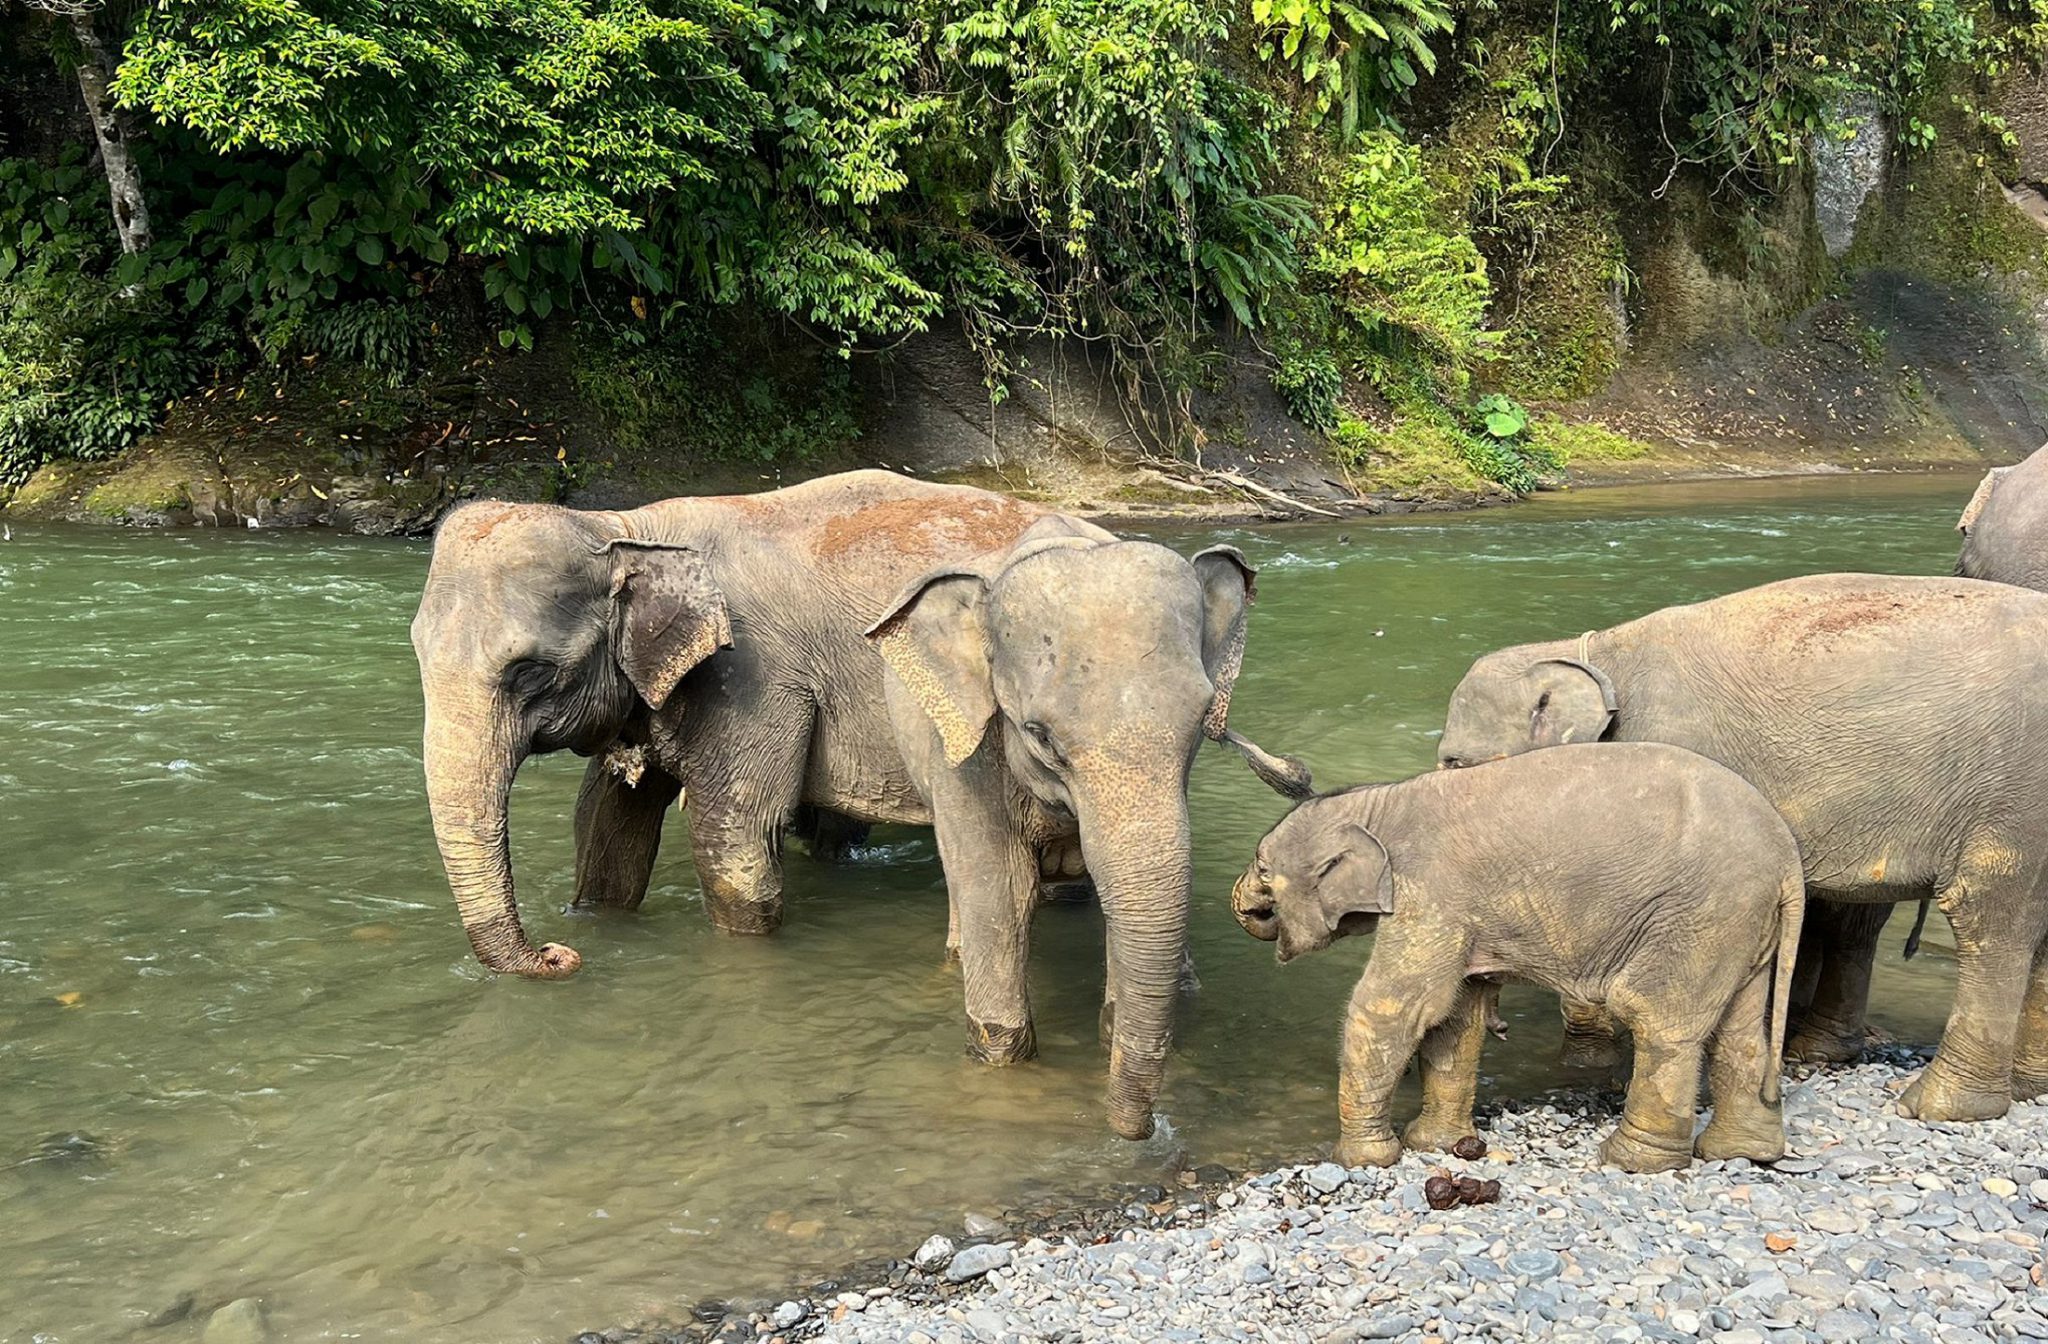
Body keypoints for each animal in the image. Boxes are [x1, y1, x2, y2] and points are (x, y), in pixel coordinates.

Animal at [409, 469, 1307, 1137]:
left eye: (529, 671)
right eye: (414, 653)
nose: (557, 956)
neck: (628, 523)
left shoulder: (754, 680)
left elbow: (737, 853)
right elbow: (608, 833)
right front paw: (599, 920)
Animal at [1230, 743, 1803, 1173]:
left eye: (1263, 866)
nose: (1251, 902)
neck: (1379, 799)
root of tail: (1787, 860)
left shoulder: (1431, 892)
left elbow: (1395, 1008)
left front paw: (1365, 1160)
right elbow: (1457, 1019)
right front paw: (1433, 1146)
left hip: (1698, 915)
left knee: (1657, 1019)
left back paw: (1631, 1160)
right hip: (1741, 926)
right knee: (1739, 1030)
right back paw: (1743, 1152)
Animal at [1436, 573, 2048, 1123]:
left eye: (1453, 762)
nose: (1502, 1027)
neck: (1593, 650)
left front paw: (1586, 1066)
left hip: (2013, 791)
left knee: (1990, 915)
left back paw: (1938, 1106)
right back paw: (2019, 1088)